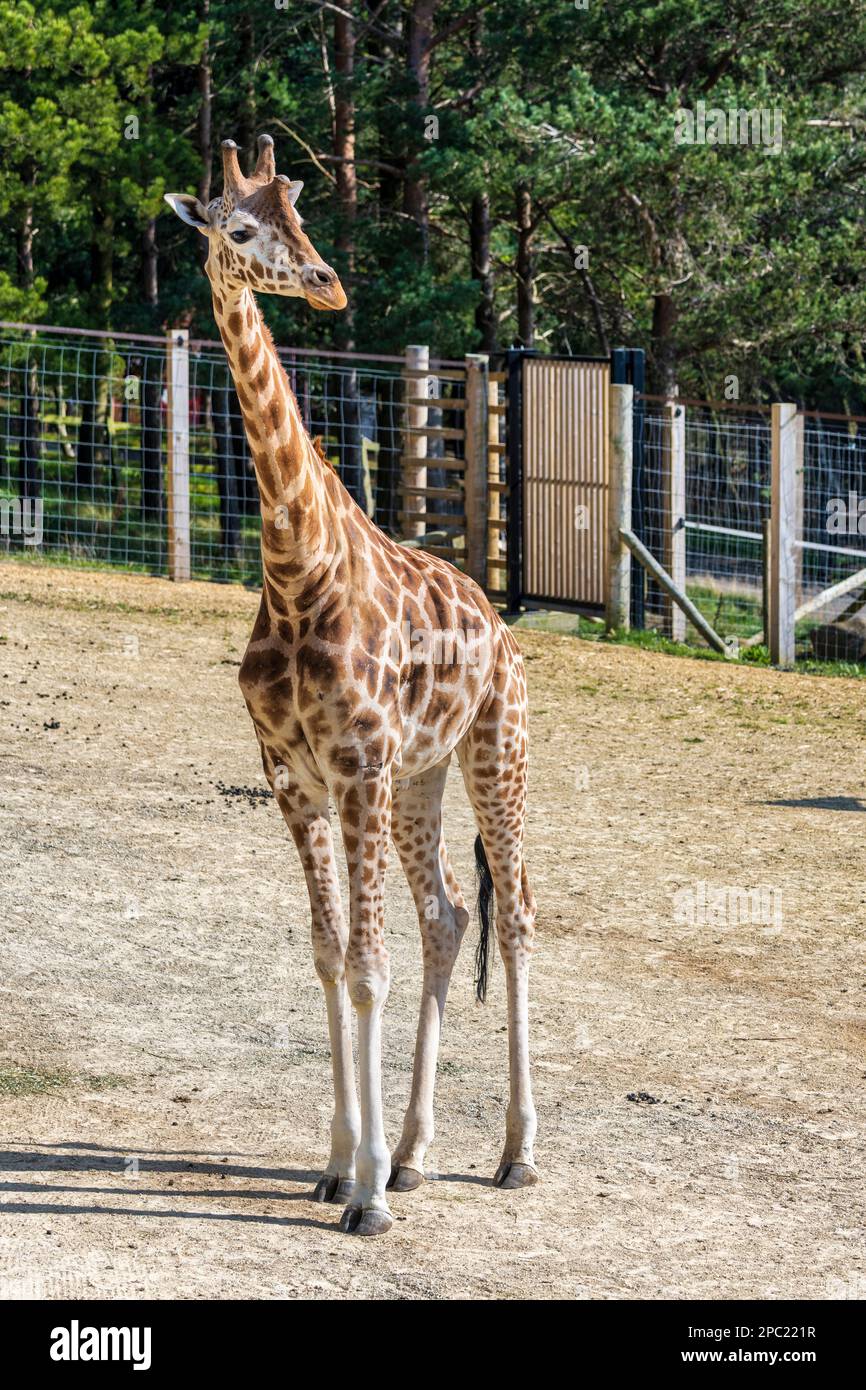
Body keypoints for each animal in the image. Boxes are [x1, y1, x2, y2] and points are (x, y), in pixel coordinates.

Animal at [165, 135, 538, 1236]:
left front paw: (364, 1195)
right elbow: (332, 955)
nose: (328, 284)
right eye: (242, 229)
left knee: (519, 913)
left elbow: (368, 964)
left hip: (493, 752)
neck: (298, 575)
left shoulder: (358, 766)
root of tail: (500, 624)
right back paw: (414, 1153)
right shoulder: (294, 775)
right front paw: (342, 1164)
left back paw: (514, 1153)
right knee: (450, 916)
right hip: (421, 780)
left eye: (305, 222)